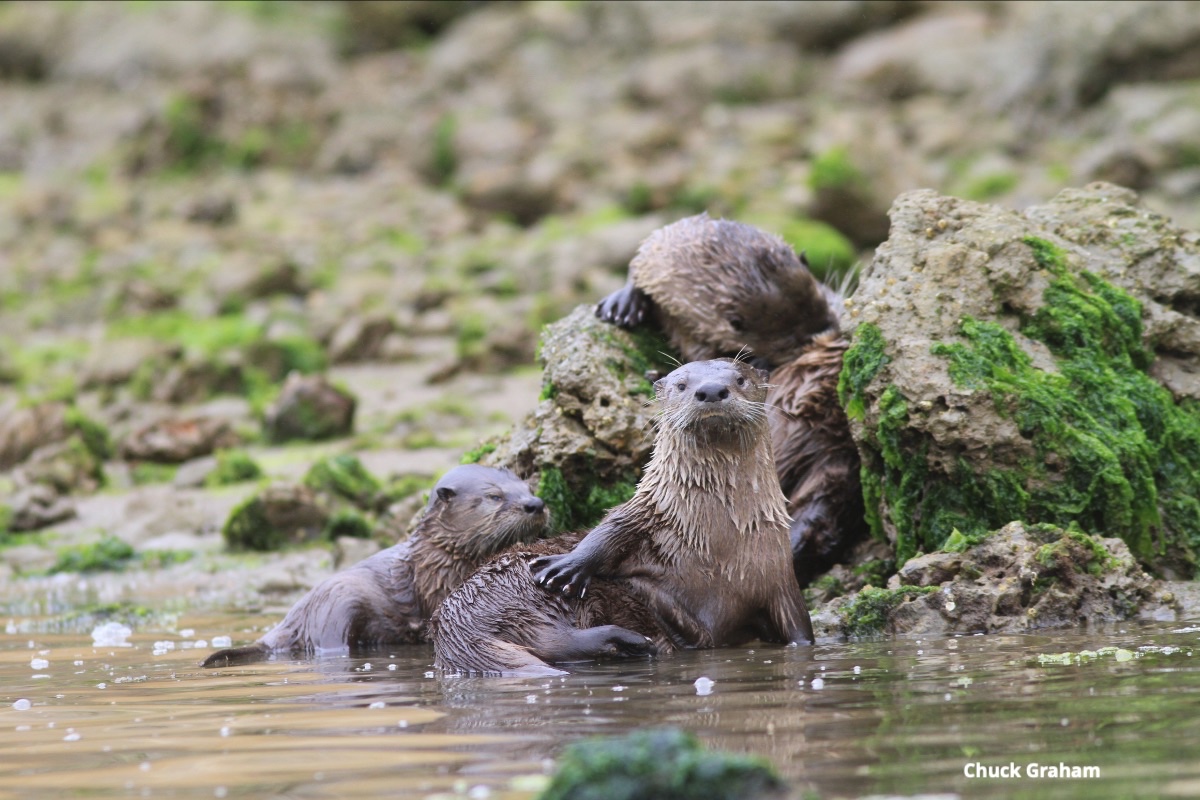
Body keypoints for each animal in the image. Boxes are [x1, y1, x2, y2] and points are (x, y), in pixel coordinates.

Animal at [200, 465, 548, 668]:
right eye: (494, 496)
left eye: (530, 489)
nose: (536, 504)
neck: (436, 561)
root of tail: (292, 620)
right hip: (337, 606)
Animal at [432, 359, 814, 676]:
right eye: (681, 384)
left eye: (740, 379)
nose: (710, 391)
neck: (719, 541)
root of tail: (455, 623)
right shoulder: (647, 513)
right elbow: (613, 528)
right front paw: (571, 564)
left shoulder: (779, 579)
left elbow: (799, 629)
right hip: (524, 592)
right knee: (555, 638)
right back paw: (630, 641)